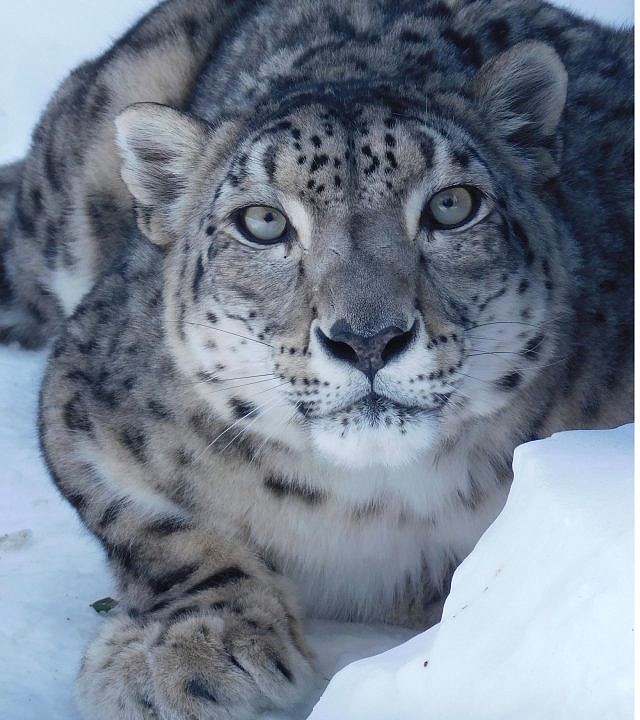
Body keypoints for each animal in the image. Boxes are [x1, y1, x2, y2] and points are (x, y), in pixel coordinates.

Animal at [0, 0, 632, 718]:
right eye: (263, 222)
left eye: (452, 205)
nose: (367, 339)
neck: (380, 507)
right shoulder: (83, 400)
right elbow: (150, 527)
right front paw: (186, 652)